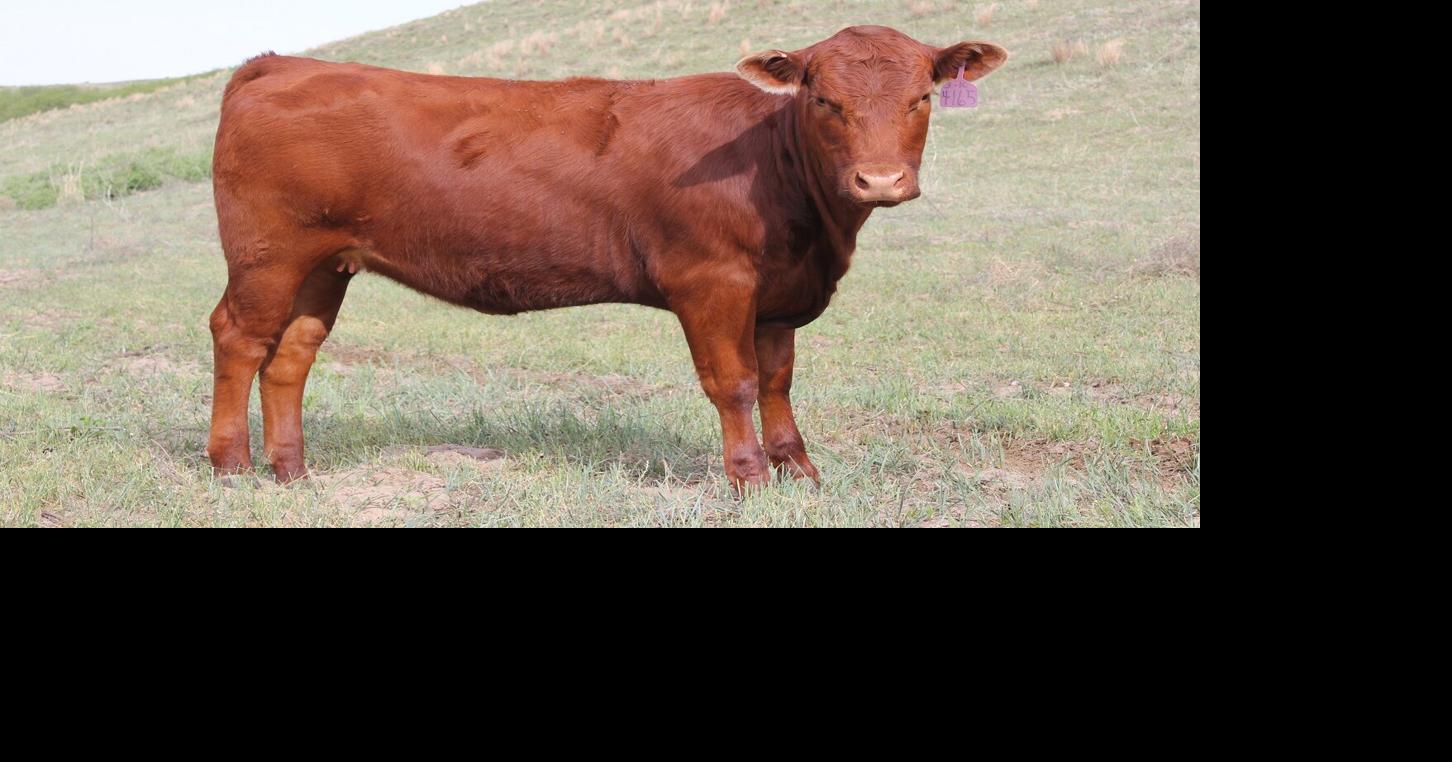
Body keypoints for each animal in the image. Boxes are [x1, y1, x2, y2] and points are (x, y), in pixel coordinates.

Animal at [207, 25, 1007, 492]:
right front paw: (748, 480)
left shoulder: (778, 295)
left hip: (324, 264)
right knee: (239, 338)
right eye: (823, 100)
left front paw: (800, 473)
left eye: (922, 97)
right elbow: (736, 384)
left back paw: (291, 470)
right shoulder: (710, 281)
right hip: (268, 254)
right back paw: (231, 465)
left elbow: (778, 382)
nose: (880, 180)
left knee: (291, 354)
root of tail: (279, 65)